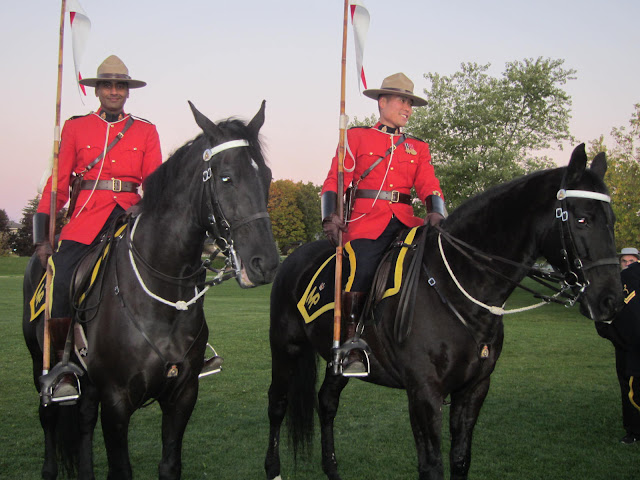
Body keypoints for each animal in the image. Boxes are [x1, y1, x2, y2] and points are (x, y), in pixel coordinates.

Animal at [23, 101, 280, 480]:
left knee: (83, 420)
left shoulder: (182, 395)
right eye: (226, 178)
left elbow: (169, 464)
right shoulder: (116, 401)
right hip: (42, 366)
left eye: (267, 177)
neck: (164, 297)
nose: (266, 263)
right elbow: (121, 469)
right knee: (49, 419)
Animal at [264, 144, 622, 480]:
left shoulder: (474, 389)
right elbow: (432, 466)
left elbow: (460, 460)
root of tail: (293, 258)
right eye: (582, 218)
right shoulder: (424, 394)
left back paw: (332, 469)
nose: (612, 300)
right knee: (277, 404)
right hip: (285, 347)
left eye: (612, 220)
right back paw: (274, 469)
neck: (459, 285)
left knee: (326, 402)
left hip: (336, 359)